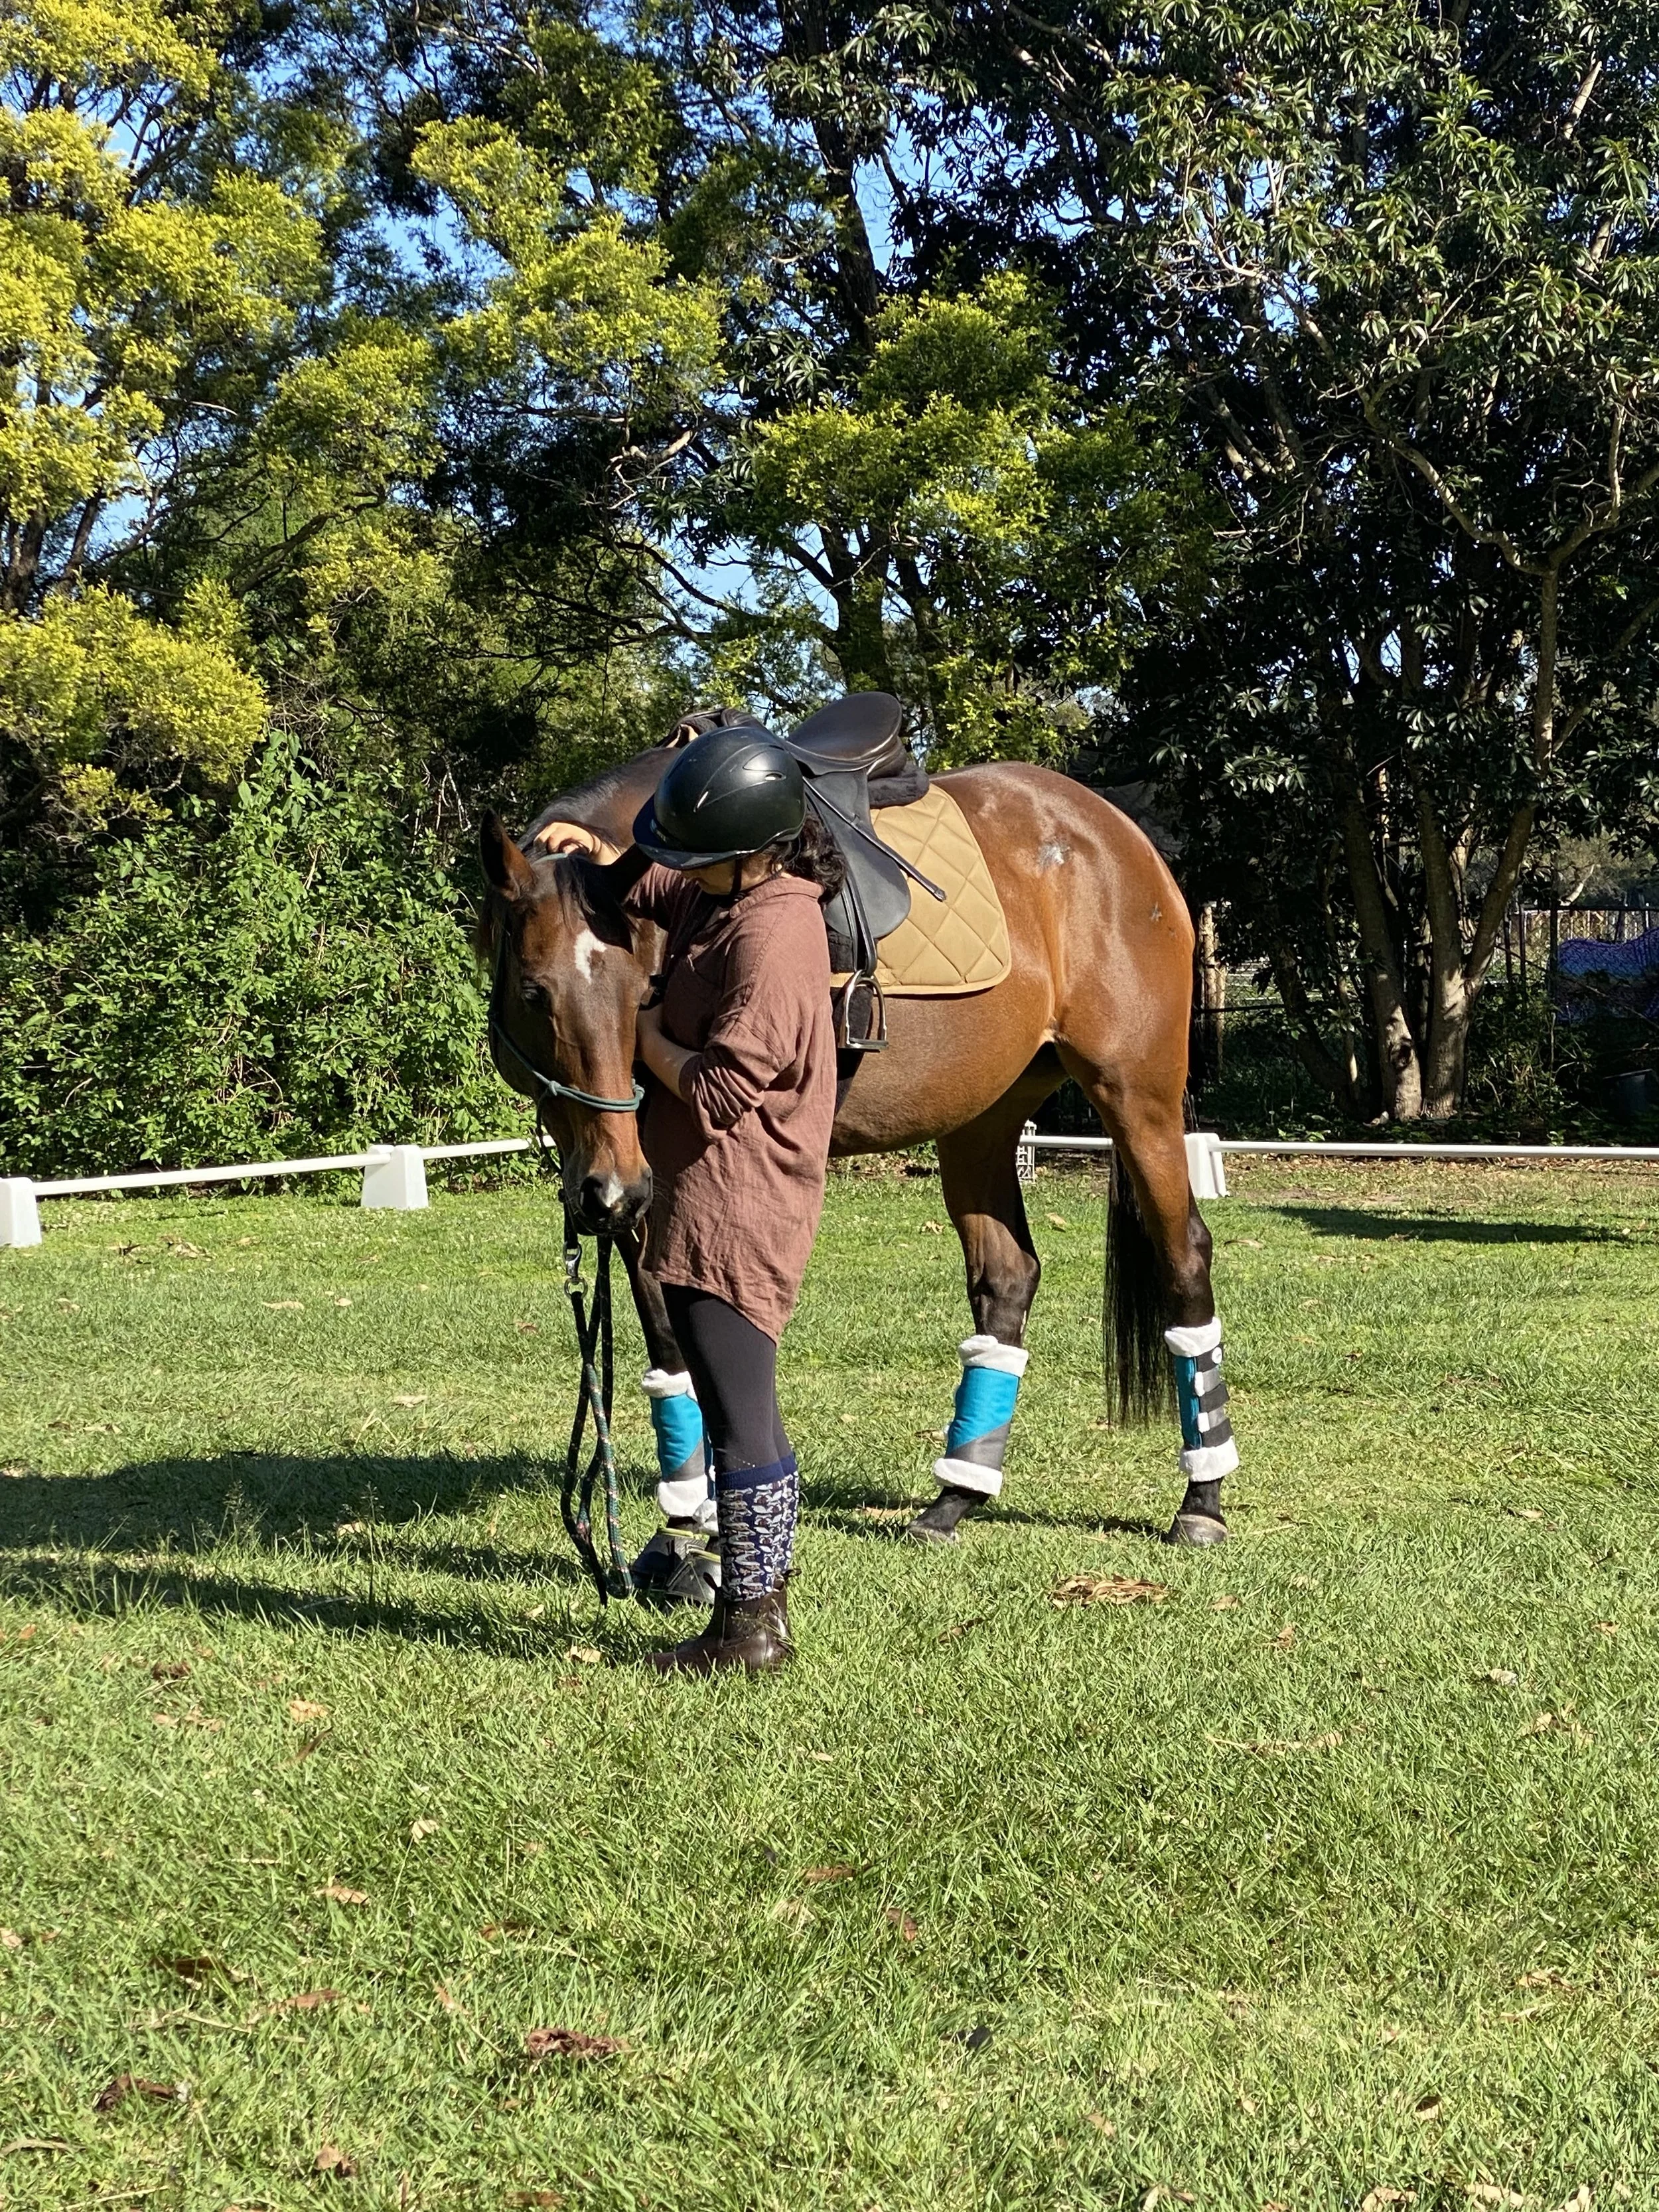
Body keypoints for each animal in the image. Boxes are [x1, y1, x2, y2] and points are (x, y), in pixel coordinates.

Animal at [477, 719, 1238, 1549]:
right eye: (533, 992)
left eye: (639, 988)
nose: (611, 1192)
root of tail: (1116, 834)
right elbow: (670, 1343)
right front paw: (688, 1517)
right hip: (981, 1121)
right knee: (1007, 1277)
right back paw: (955, 1496)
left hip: (1136, 1097)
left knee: (1184, 1257)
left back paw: (1201, 1499)